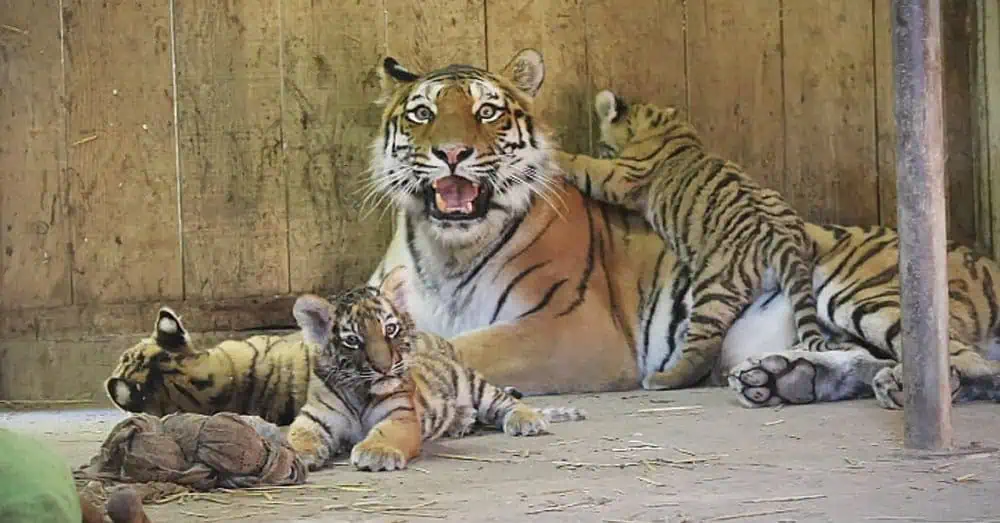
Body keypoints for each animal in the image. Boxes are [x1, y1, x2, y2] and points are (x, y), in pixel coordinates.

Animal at [285, 266, 586, 472]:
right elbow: (298, 434)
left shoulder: (400, 417)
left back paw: (525, 420)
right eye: (352, 340)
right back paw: (461, 421)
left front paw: (376, 452)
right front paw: (294, 454)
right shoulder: (314, 418)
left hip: (475, 385)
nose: (385, 367)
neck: (361, 393)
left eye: (390, 329)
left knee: (507, 401)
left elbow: (385, 432)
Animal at [554, 88, 1000, 409]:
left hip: (775, 289)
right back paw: (790, 377)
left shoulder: (623, 175)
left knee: (967, 360)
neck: (668, 129)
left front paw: (553, 153)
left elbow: (586, 167)